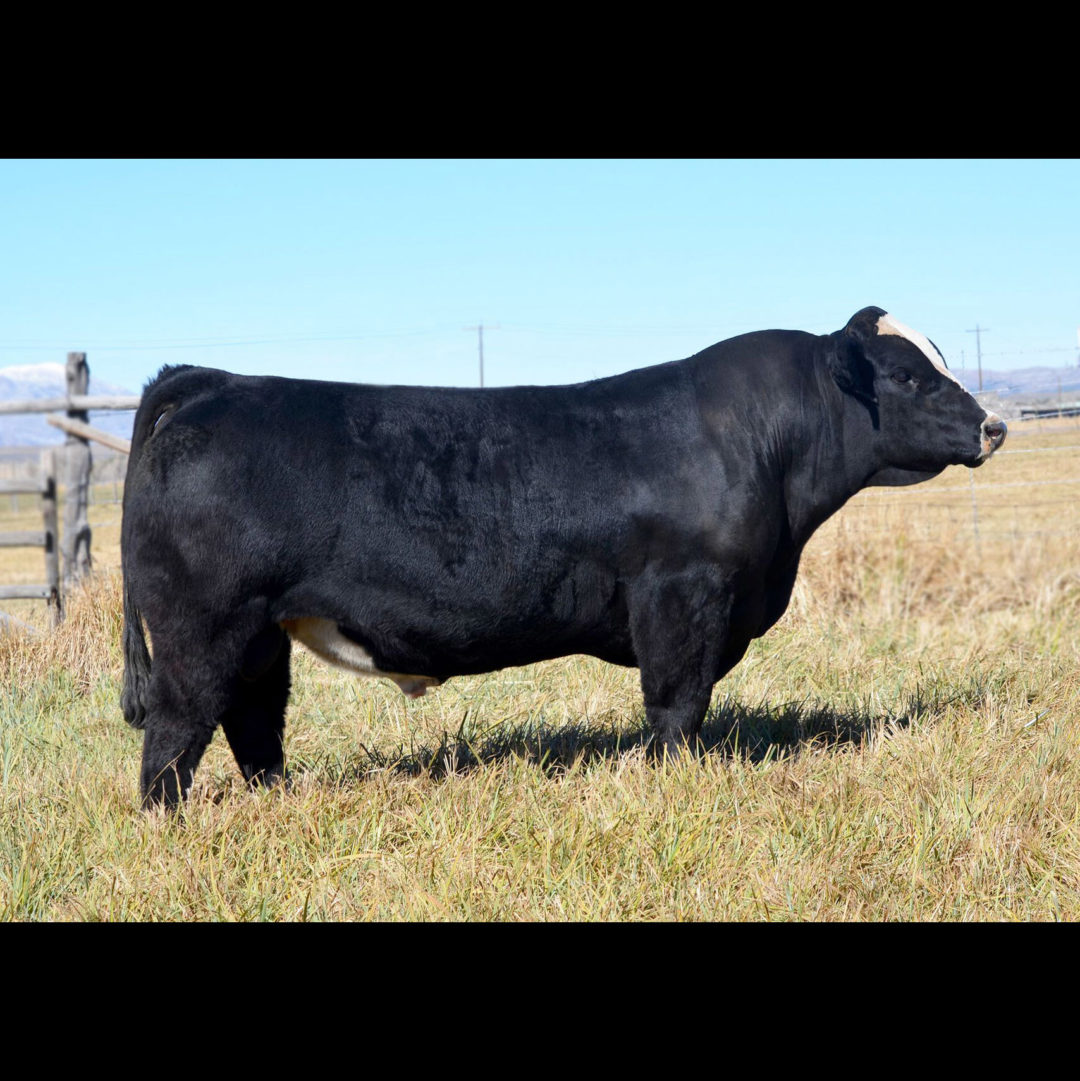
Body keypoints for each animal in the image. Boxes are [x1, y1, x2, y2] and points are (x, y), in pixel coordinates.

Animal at [120, 306, 1006, 807]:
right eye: (907, 375)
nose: (993, 424)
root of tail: (214, 381)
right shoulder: (684, 598)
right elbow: (677, 705)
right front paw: (673, 785)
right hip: (203, 624)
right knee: (177, 729)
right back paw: (168, 822)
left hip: (261, 628)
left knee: (253, 719)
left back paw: (278, 801)